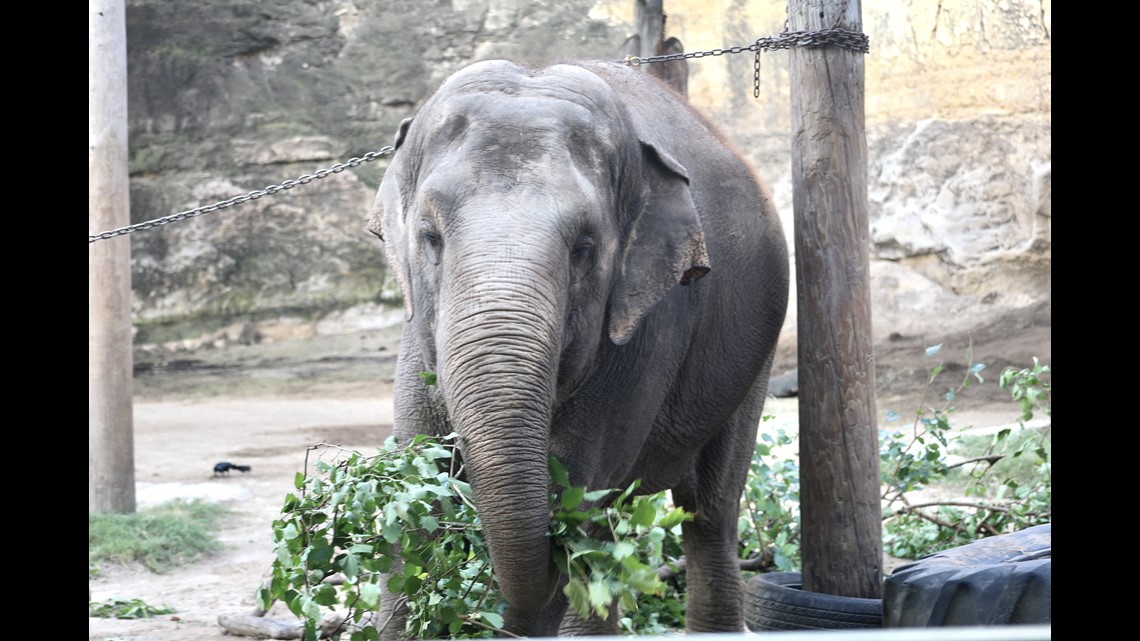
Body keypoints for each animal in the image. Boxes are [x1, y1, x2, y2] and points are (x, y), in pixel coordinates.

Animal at [367, 58, 789, 637]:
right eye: (430, 236)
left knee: (706, 509)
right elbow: (413, 500)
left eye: (584, 249)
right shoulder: (417, 344)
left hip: (755, 353)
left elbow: (576, 490)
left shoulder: (643, 338)